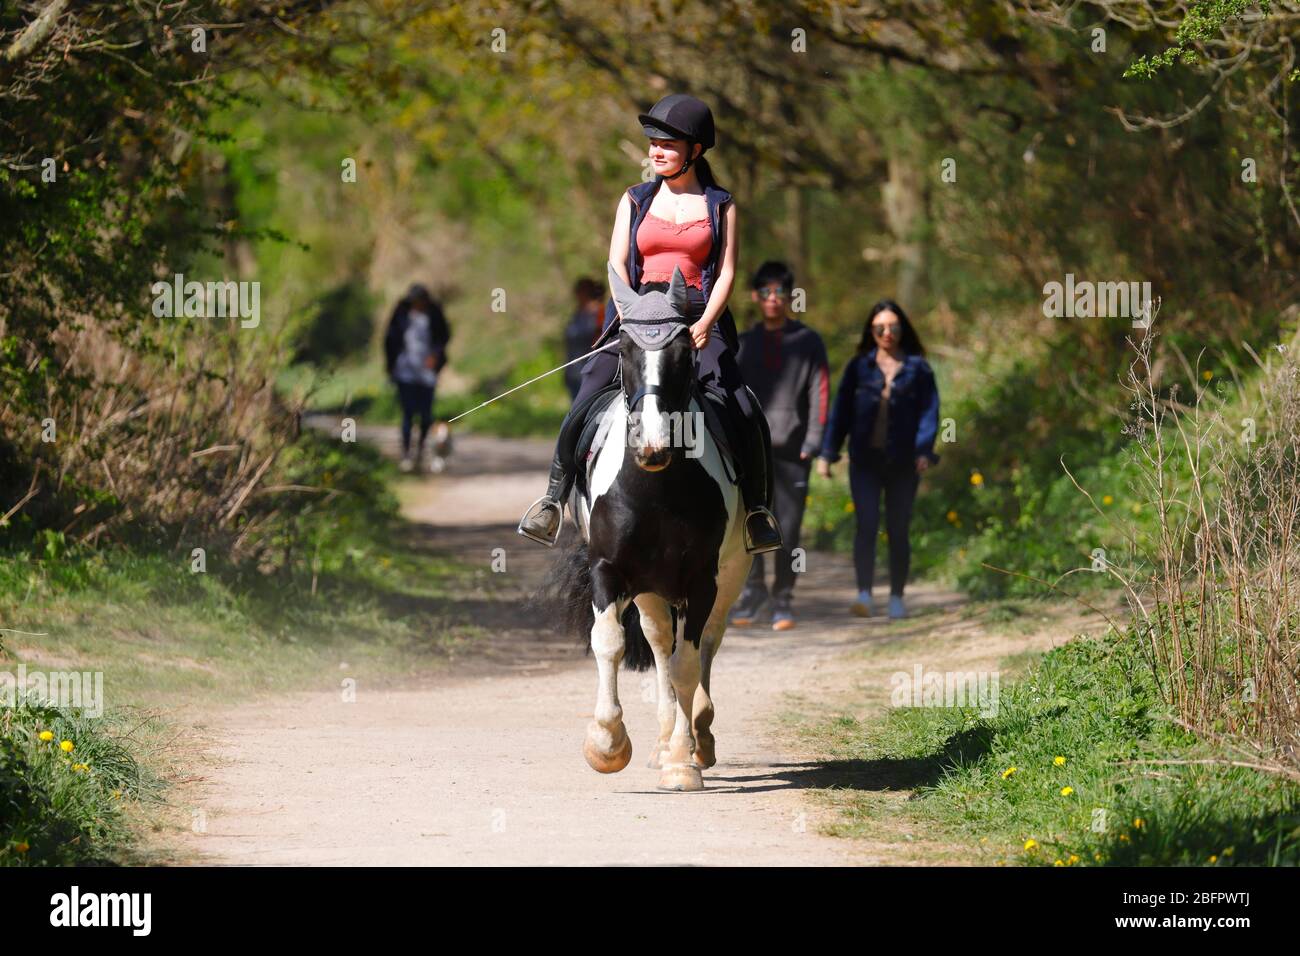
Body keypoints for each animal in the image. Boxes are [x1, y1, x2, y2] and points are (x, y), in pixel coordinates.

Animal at [546, 263, 752, 792]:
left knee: (706, 644)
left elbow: (686, 664)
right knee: (659, 642)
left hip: (730, 575)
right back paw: (661, 742)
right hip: (650, 588)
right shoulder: (609, 570)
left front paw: (683, 762)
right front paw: (607, 746)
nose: (652, 445)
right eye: (623, 350)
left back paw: (699, 738)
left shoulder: (701, 579)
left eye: (684, 354)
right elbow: (611, 644)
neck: (657, 488)